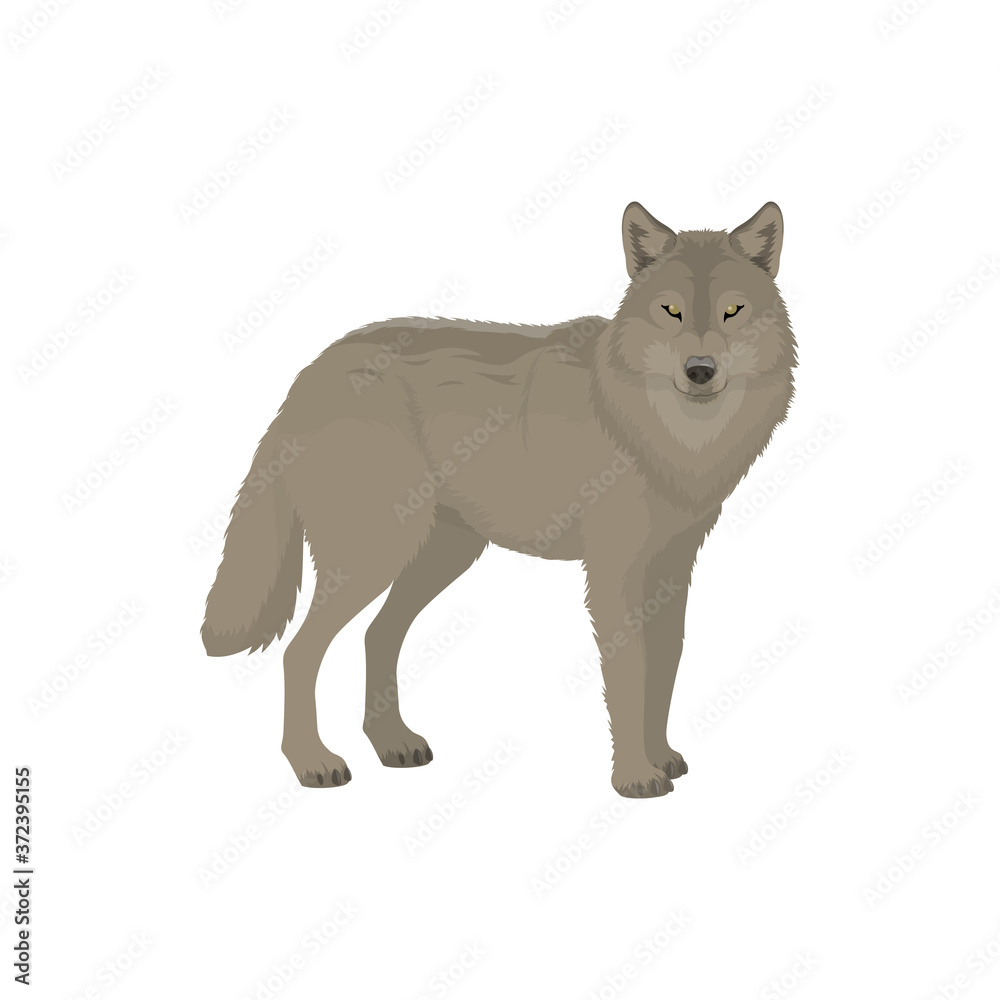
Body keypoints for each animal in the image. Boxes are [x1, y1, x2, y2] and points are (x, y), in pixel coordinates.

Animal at [202, 201, 796, 798]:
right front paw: (634, 776)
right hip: (376, 557)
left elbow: (665, 672)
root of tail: (308, 373)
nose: (700, 371)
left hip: (439, 557)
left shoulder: (671, 572)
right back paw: (312, 762)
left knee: (378, 634)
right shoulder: (614, 576)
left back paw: (392, 743)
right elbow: (629, 677)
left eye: (733, 311)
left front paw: (662, 758)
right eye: (671, 311)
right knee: (300, 652)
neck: (668, 436)